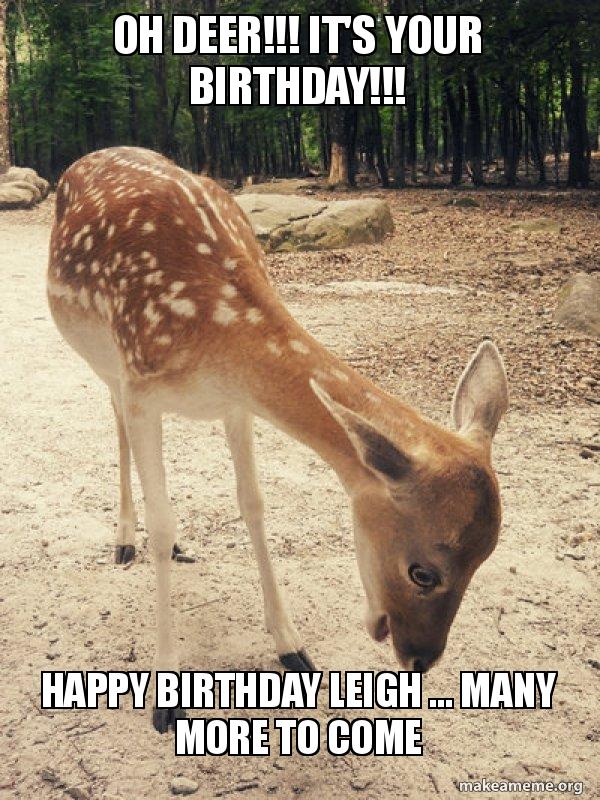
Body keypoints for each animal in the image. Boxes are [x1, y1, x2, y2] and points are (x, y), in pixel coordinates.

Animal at [47, 147, 509, 733]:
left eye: (485, 560)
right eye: (422, 572)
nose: (420, 658)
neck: (213, 333)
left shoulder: (237, 403)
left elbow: (254, 504)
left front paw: (292, 646)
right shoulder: (140, 387)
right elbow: (164, 515)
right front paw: (165, 698)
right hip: (104, 361)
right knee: (117, 425)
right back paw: (126, 538)